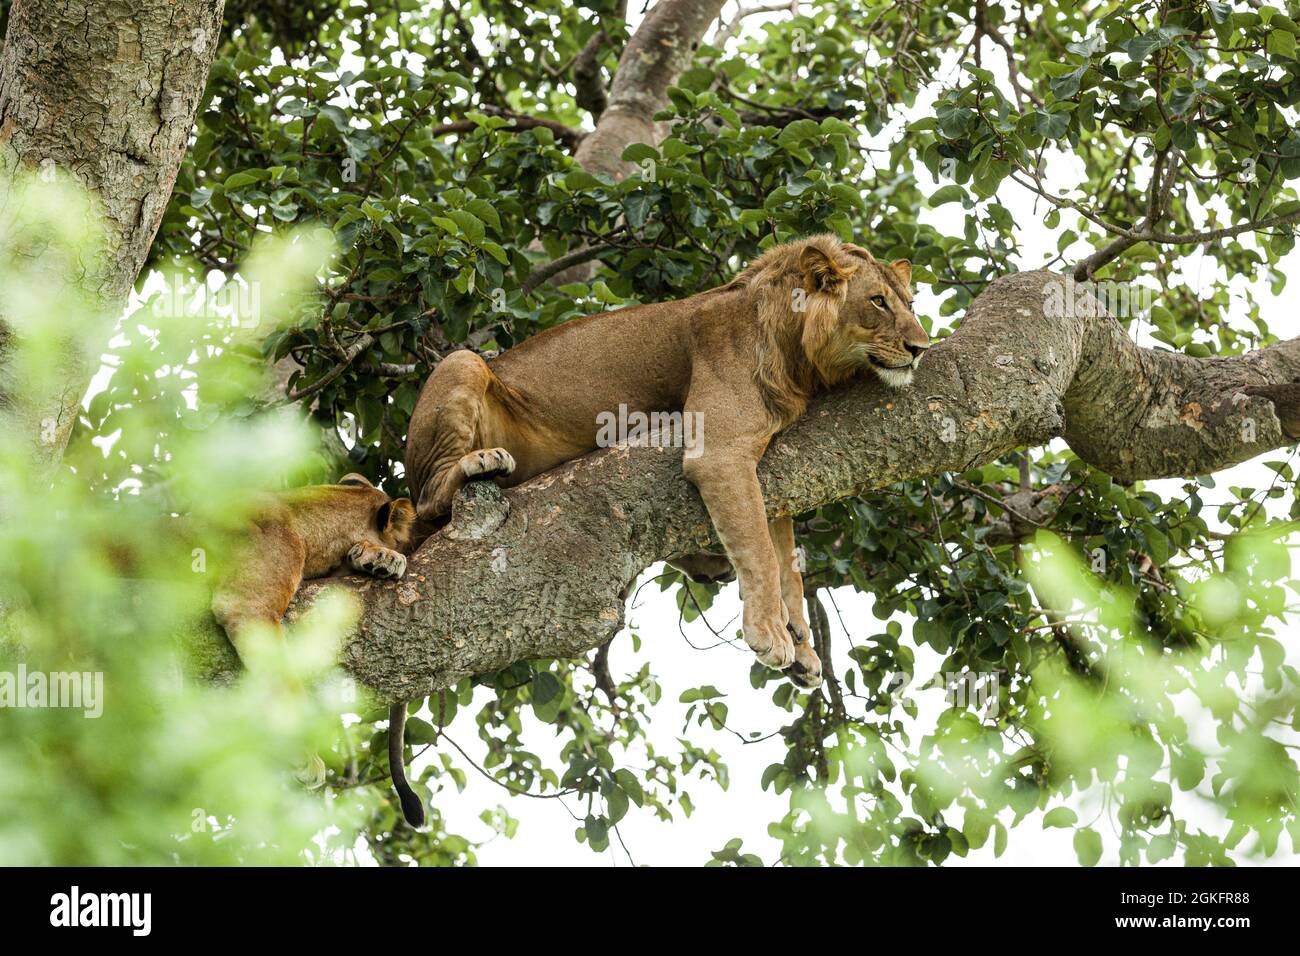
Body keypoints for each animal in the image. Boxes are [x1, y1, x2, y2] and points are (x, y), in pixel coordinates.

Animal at [405, 234, 928, 691]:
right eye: (878, 302)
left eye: (910, 303)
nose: (921, 349)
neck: (799, 354)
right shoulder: (720, 449)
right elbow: (759, 549)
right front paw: (770, 633)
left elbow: (786, 563)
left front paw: (800, 643)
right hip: (462, 363)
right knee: (428, 500)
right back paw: (481, 463)